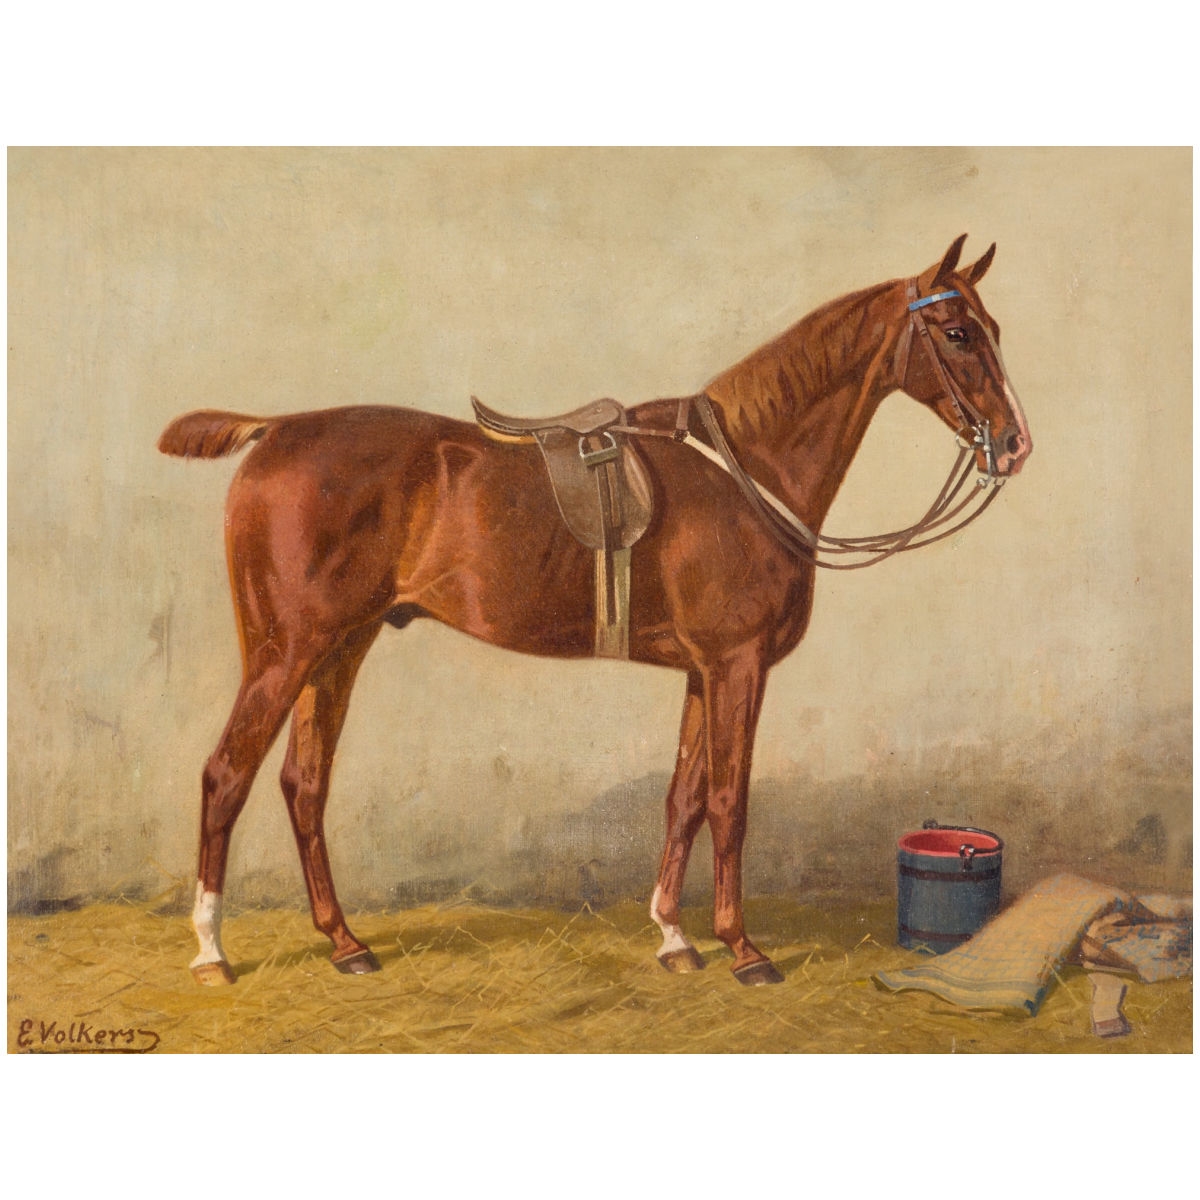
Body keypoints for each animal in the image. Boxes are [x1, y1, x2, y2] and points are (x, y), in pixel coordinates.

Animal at [158, 235, 1031, 987]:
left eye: (991, 328)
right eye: (957, 333)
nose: (1015, 443)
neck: (746, 471)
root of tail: (274, 431)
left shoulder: (702, 672)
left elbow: (684, 799)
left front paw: (674, 937)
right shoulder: (737, 665)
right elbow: (729, 803)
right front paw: (743, 948)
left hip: (341, 648)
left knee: (303, 784)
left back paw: (343, 941)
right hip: (286, 651)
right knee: (225, 777)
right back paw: (210, 952)